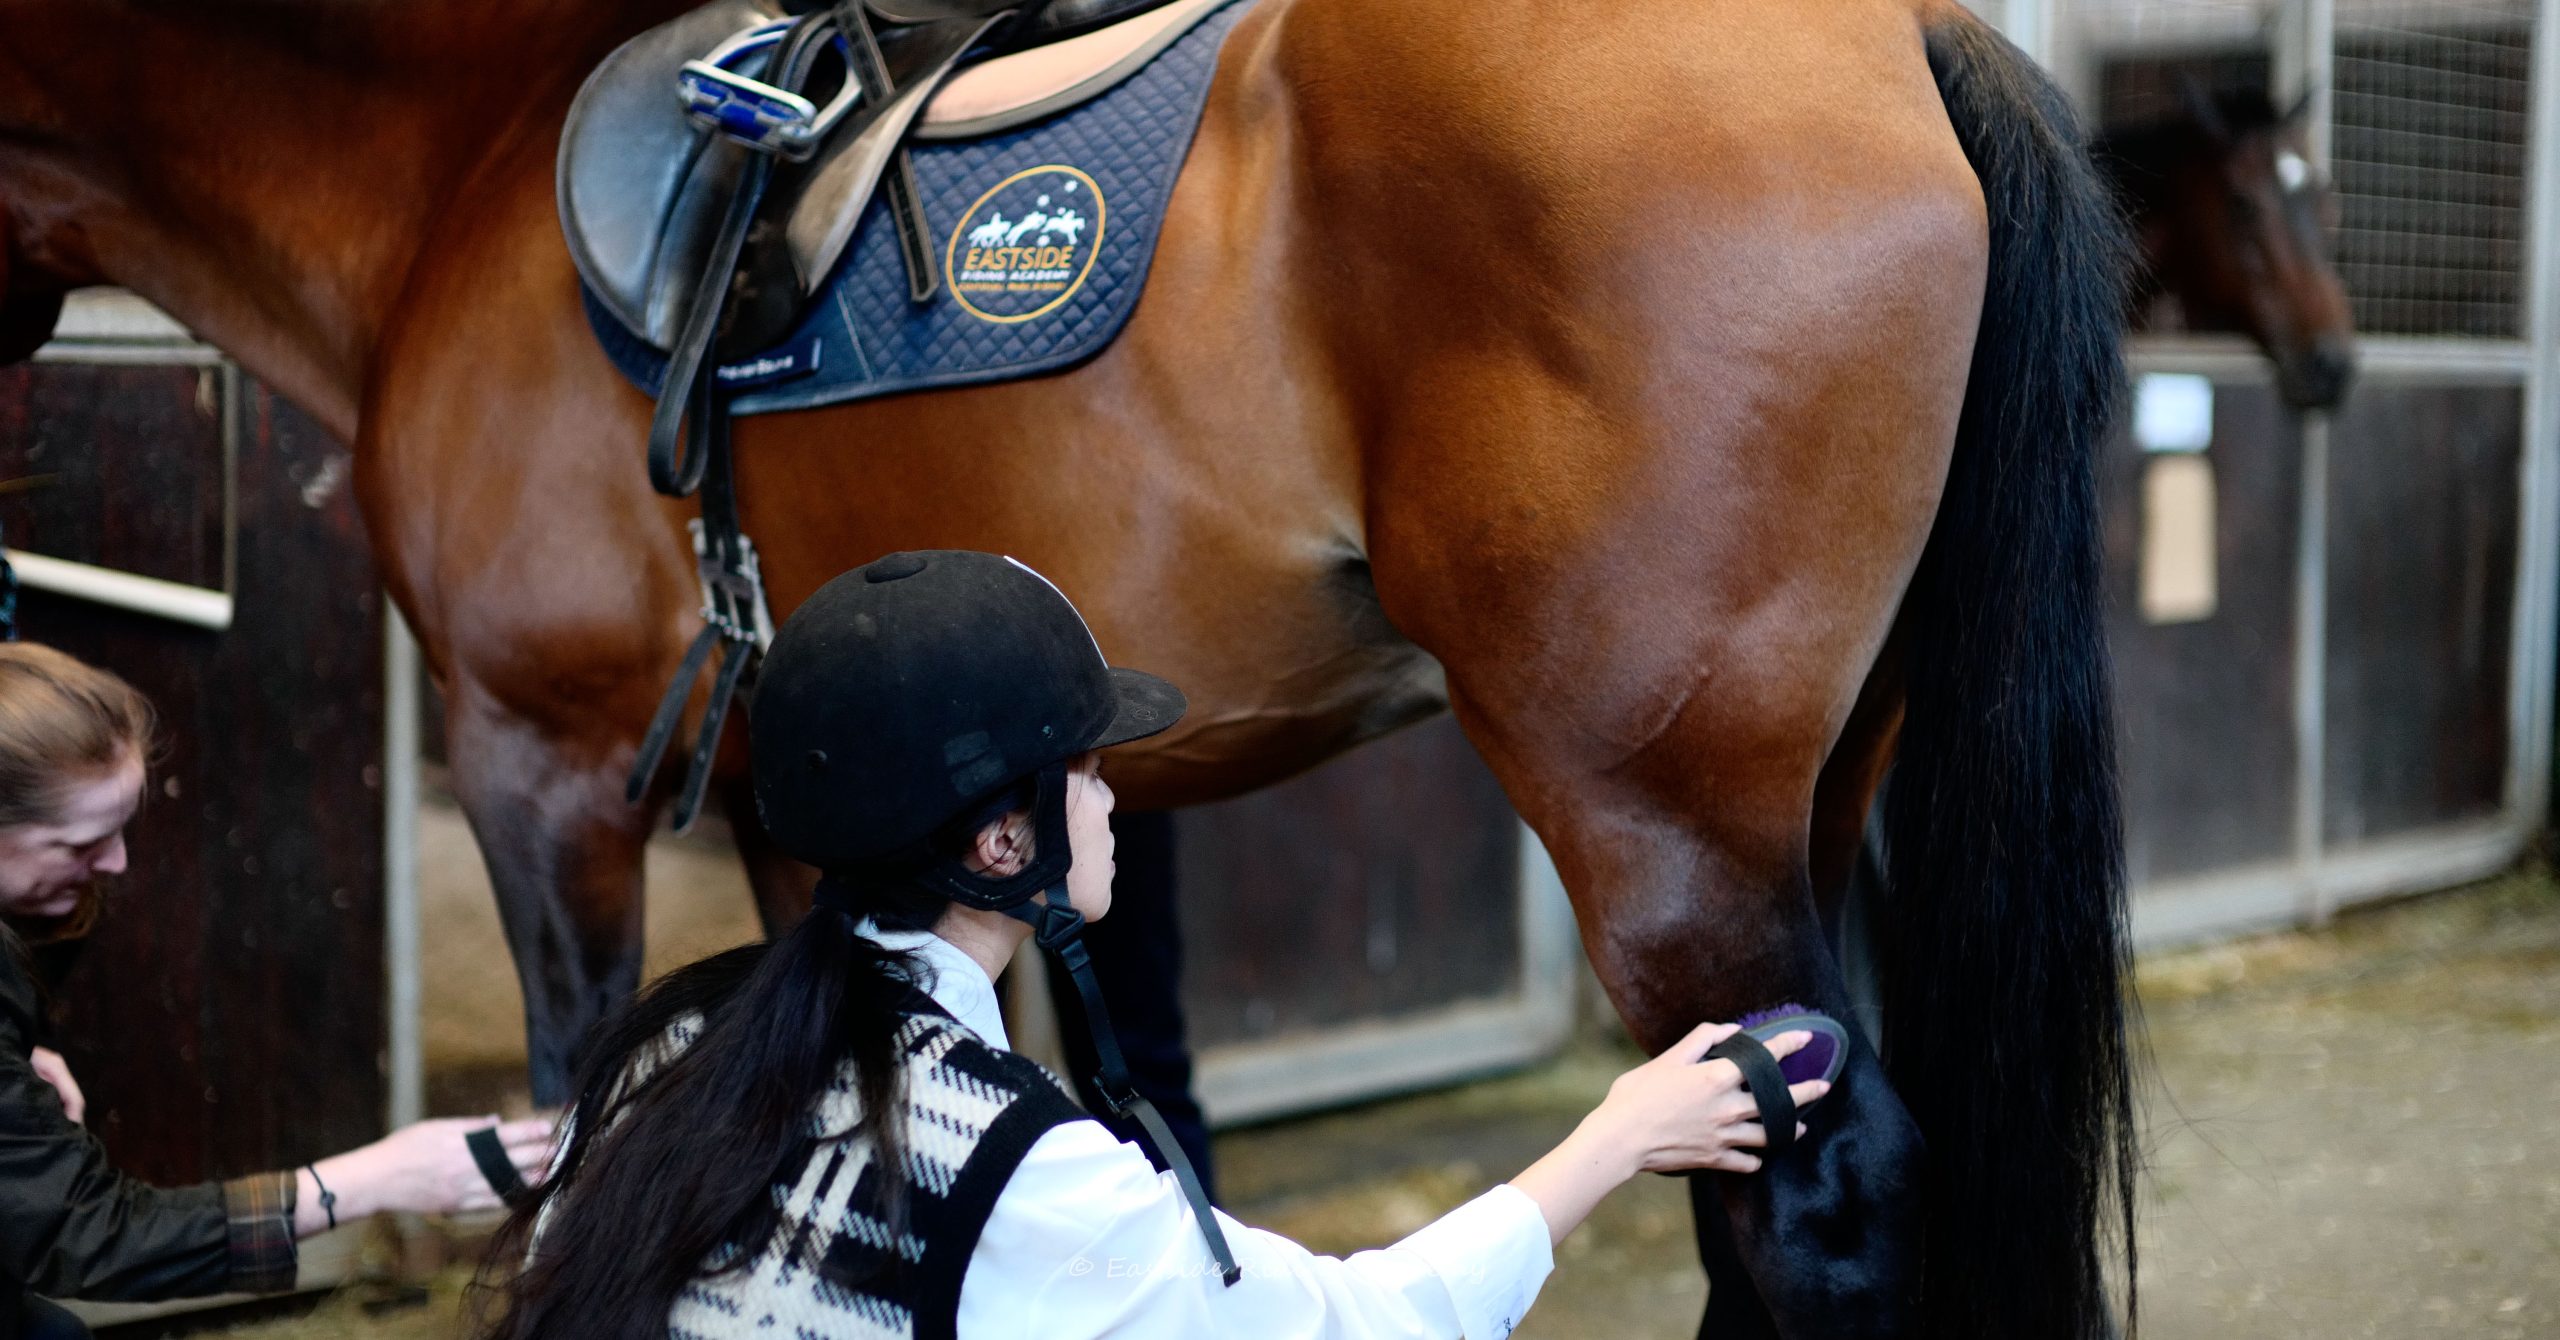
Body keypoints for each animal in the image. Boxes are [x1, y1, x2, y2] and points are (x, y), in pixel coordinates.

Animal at [0, 3, 2136, 1335]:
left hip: (1662, 830)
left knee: (1812, 1203)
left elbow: (569, 1117)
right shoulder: (798, 814)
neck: (471, 173)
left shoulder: (539, 768)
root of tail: (1903, 44)